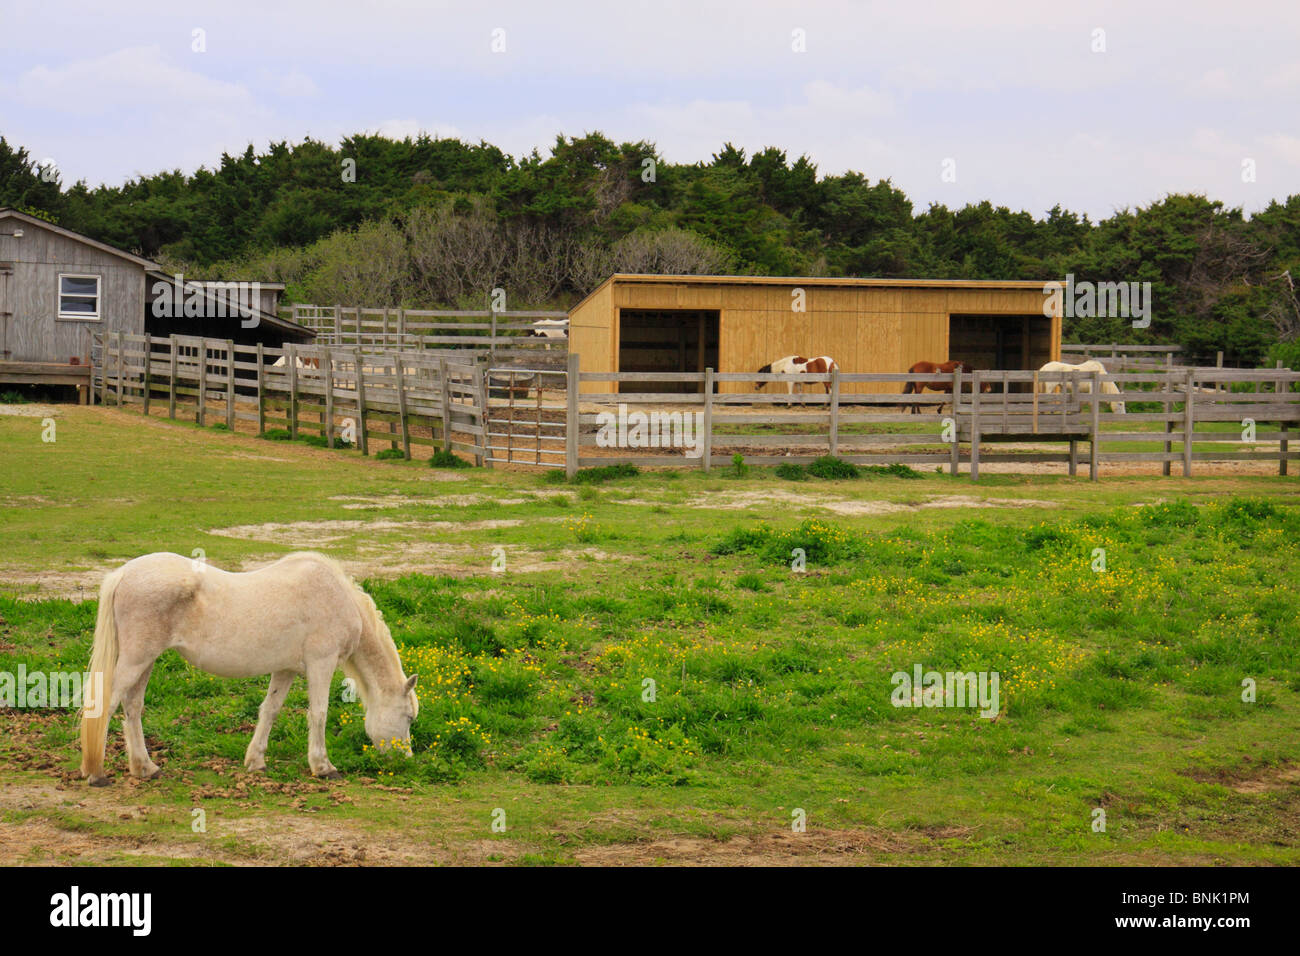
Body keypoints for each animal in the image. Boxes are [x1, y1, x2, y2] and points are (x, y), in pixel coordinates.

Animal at [82, 548, 416, 790]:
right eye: (409, 717)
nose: (406, 759)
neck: (334, 596)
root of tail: (122, 574)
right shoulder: (322, 663)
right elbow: (319, 714)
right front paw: (323, 767)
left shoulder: (285, 670)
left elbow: (270, 710)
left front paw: (256, 761)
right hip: (136, 659)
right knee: (106, 706)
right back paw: (97, 774)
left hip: (146, 661)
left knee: (132, 707)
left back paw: (145, 768)